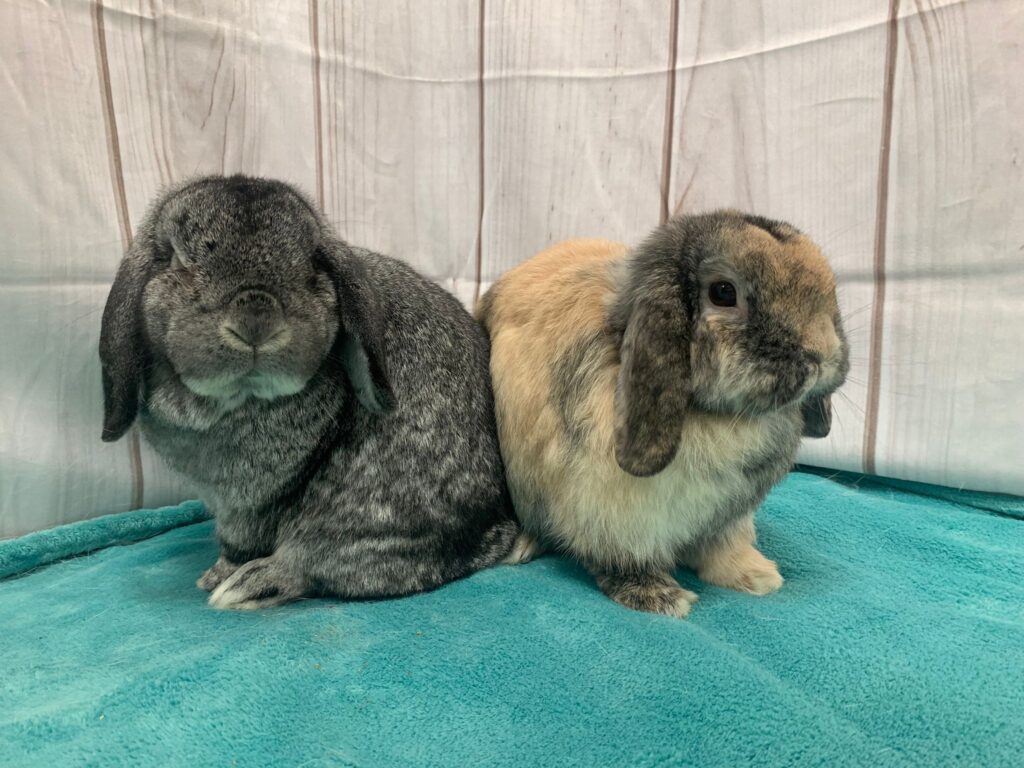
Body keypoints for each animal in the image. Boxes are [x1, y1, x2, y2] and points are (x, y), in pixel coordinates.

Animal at [100, 174, 517, 610]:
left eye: (309, 266)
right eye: (177, 261)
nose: (255, 319)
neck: (239, 398)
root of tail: (494, 530)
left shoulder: (249, 506)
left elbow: (238, 545)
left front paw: (217, 578)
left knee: (312, 566)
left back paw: (246, 587)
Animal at [477, 211, 848, 618]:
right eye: (723, 292)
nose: (820, 355)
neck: (718, 415)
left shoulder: (726, 519)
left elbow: (724, 549)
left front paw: (758, 577)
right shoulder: (611, 515)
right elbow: (624, 560)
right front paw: (663, 598)